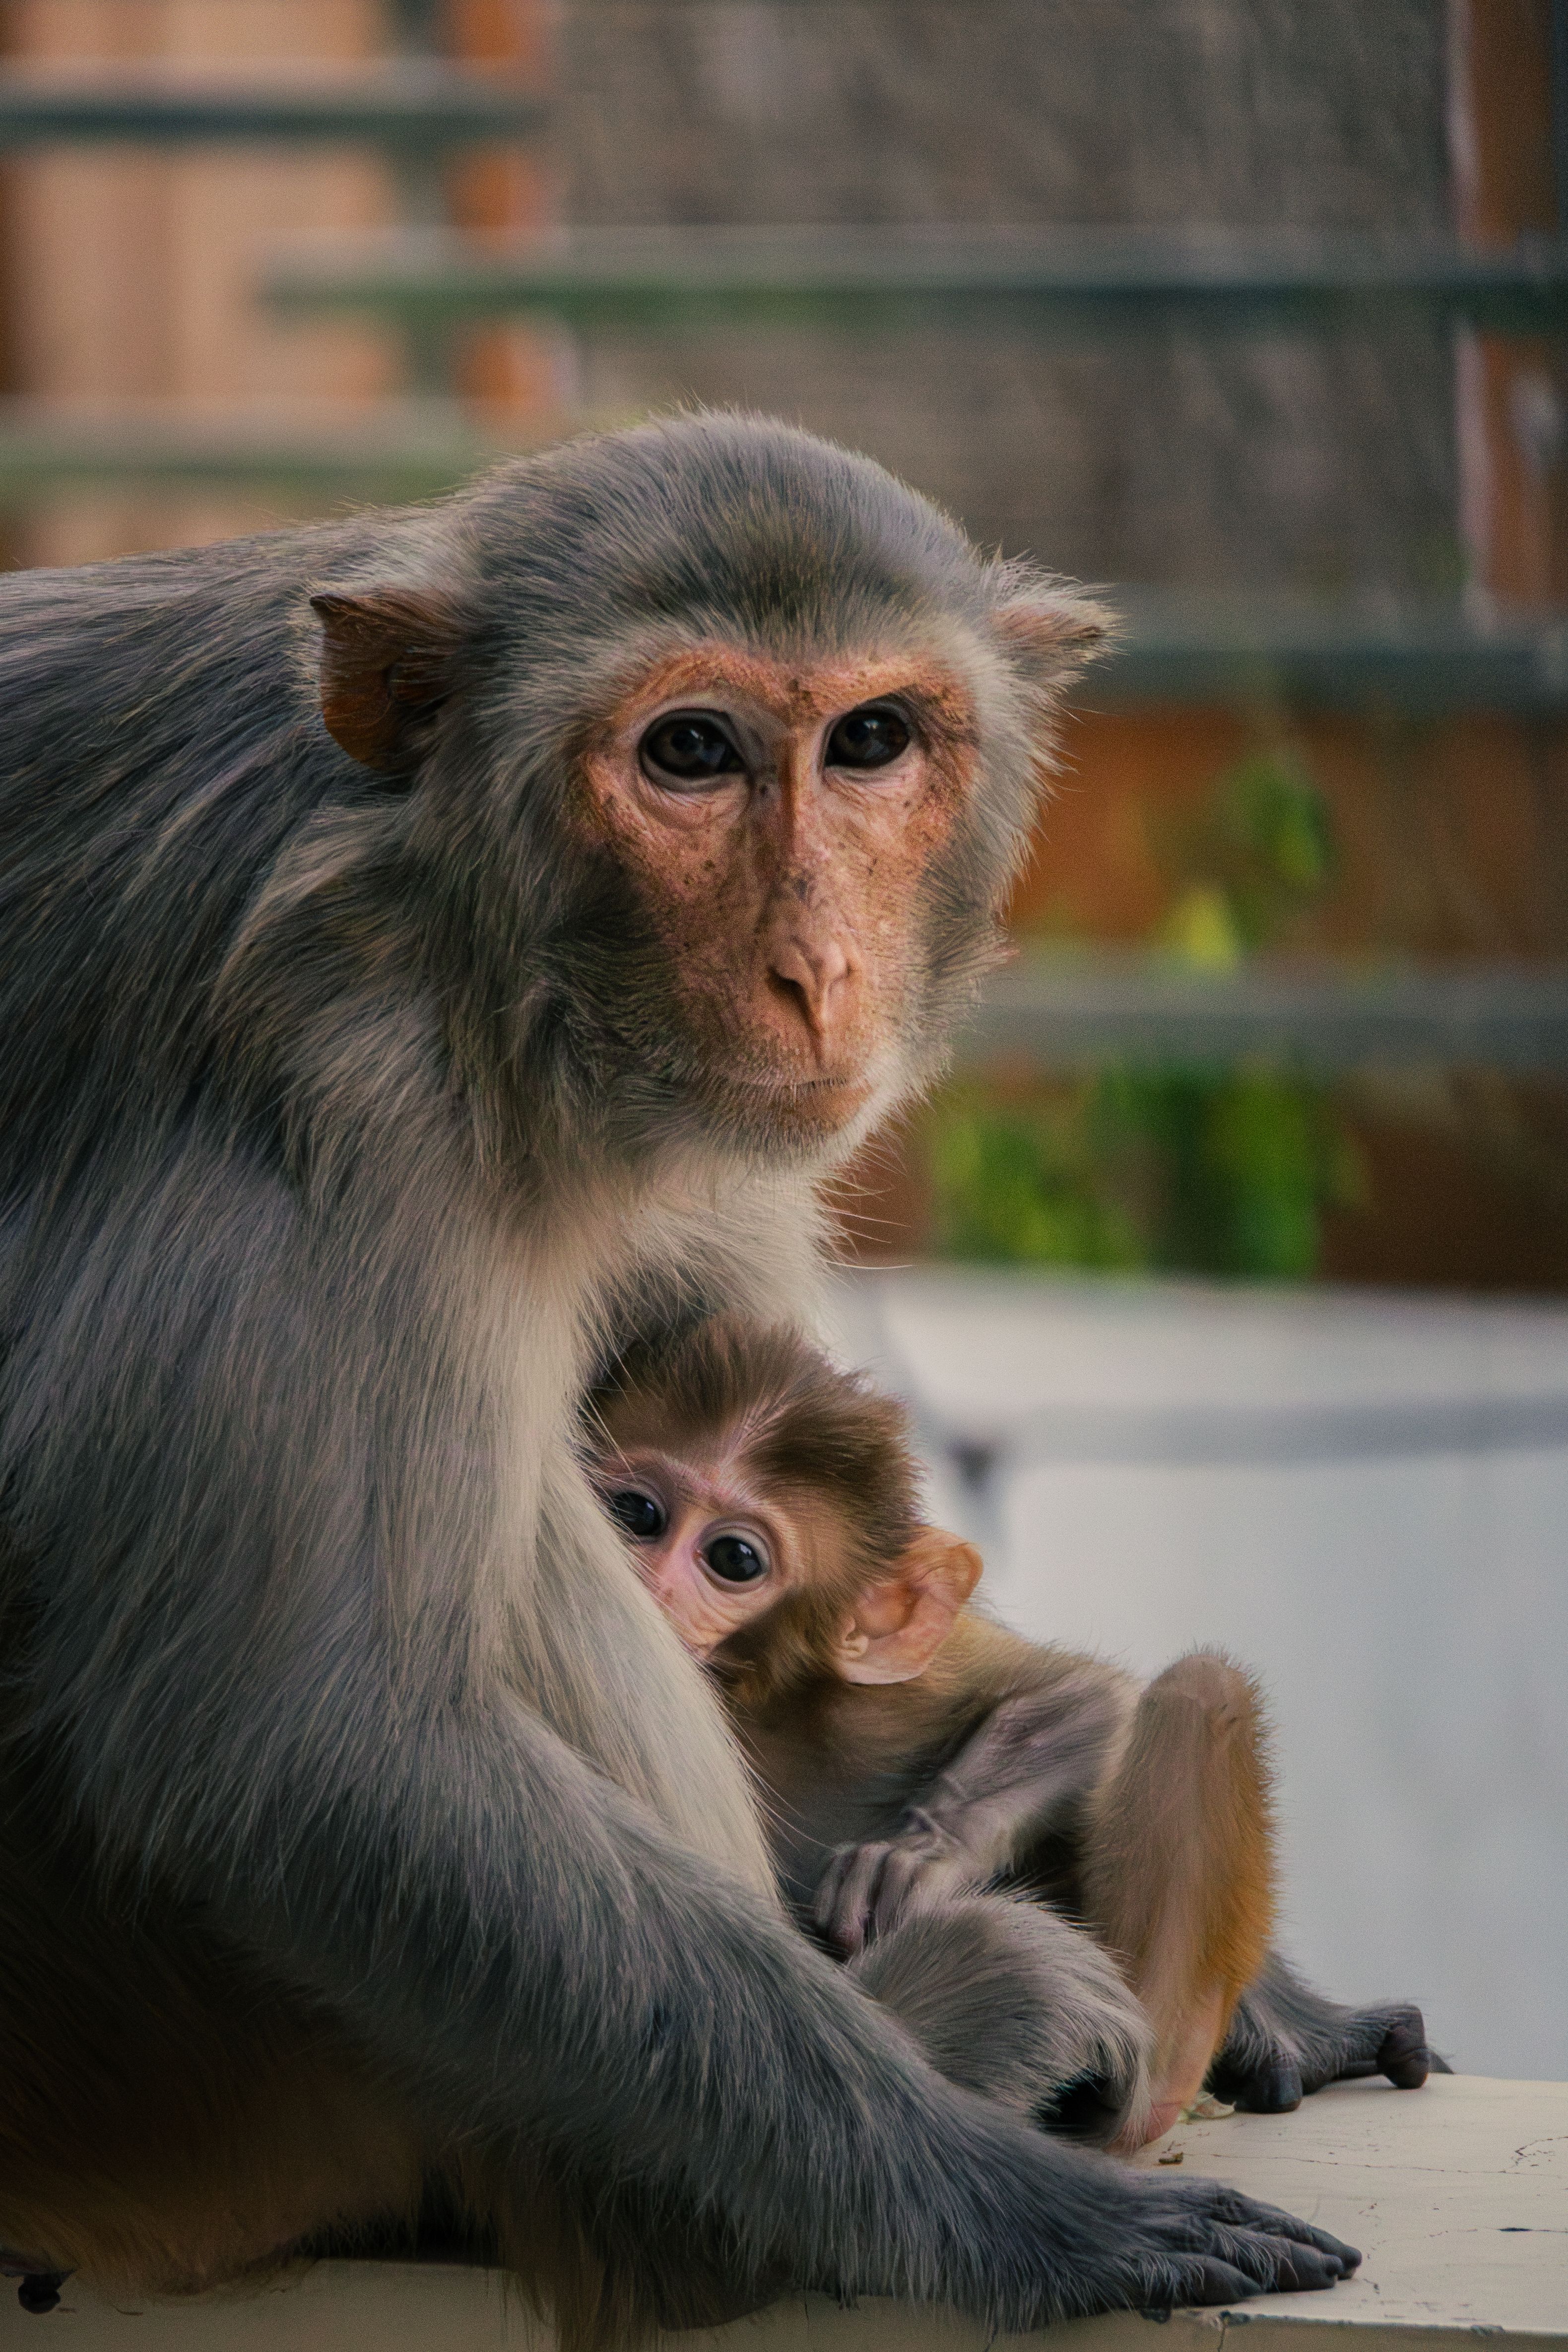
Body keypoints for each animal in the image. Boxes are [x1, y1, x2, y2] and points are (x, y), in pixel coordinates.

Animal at [586, 1313, 1438, 2153]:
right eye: (639, 1515)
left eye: (734, 1558)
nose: (649, 1585)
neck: (753, 1711)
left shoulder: (863, 1698)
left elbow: (1083, 1696)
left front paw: (921, 1852)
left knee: (1200, 1689)